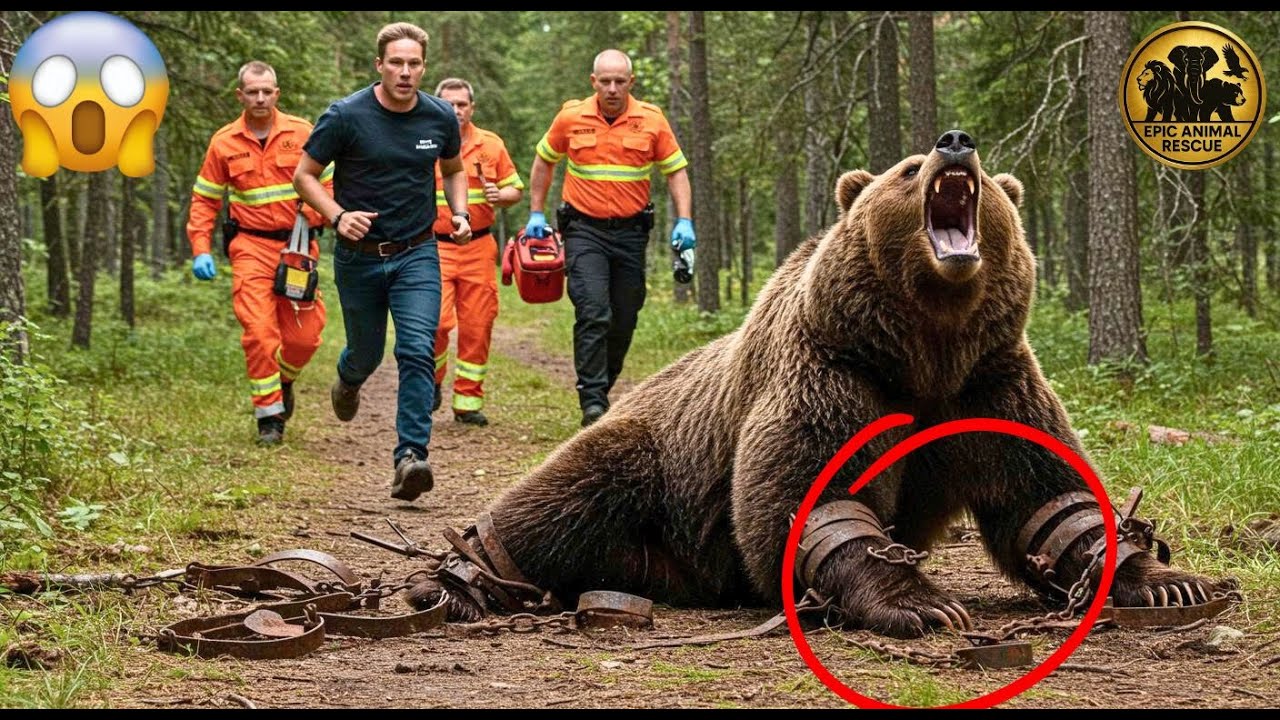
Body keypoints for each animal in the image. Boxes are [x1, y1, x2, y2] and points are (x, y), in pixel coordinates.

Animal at [413, 130, 1228, 638]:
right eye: (908, 168)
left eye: (992, 176)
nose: (955, 141)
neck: (927, 348)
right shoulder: (836, 373)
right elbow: (813, 491)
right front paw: (926, 606)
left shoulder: (992, 383)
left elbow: (1047, 495)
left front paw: (1168, 580)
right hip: (665, 456)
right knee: (567, 491)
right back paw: (461, 580)